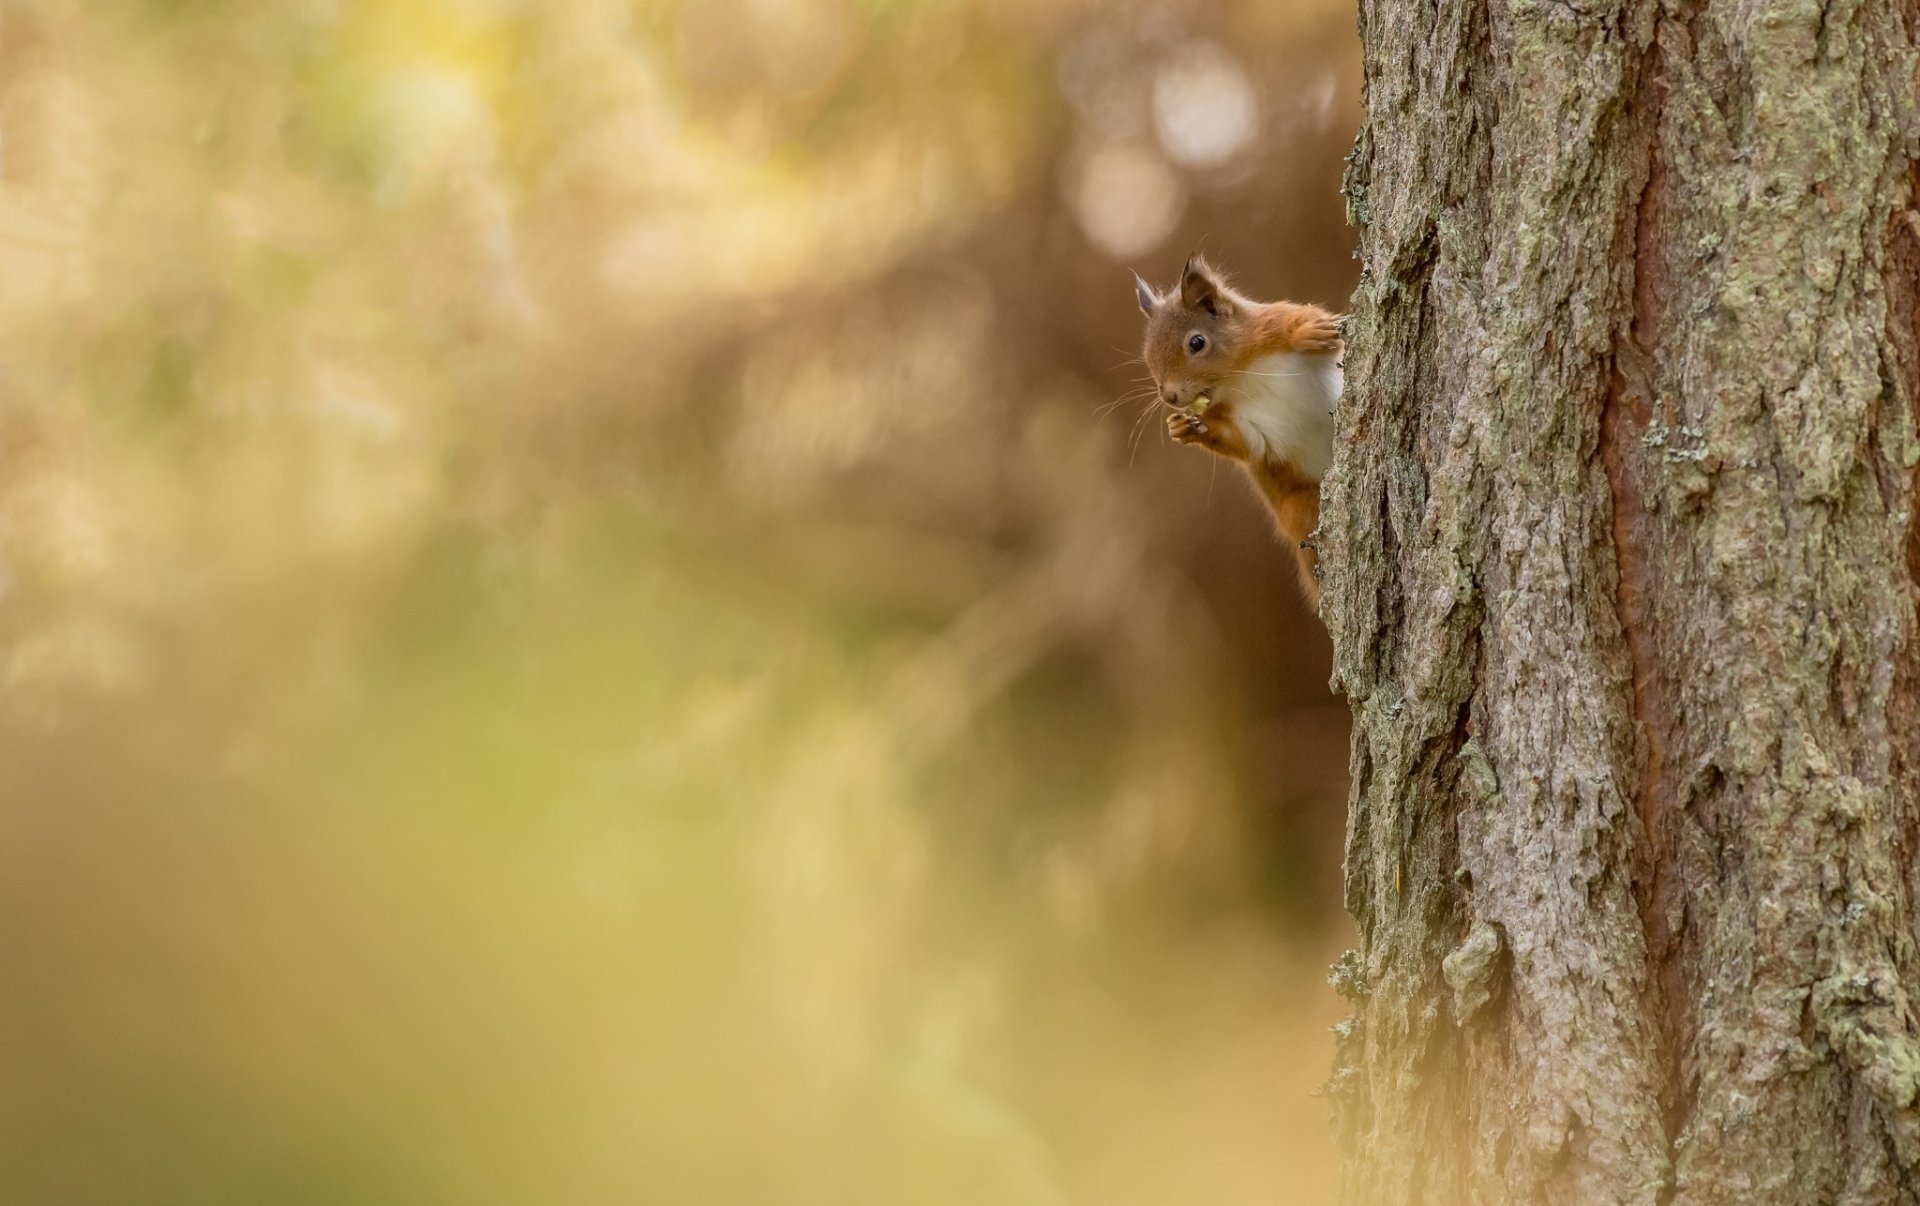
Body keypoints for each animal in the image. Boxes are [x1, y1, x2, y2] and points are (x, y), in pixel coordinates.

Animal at [1134, 255, 1343, 606]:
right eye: (1147, 353)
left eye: (1197, 342)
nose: (1170, 397)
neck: (1239, 377)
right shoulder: (1247, 424)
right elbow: (1247, 443)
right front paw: (1186, 428)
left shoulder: (1274, 321)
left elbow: (1320, 333)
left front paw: (1308, 332)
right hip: (1301, 507)